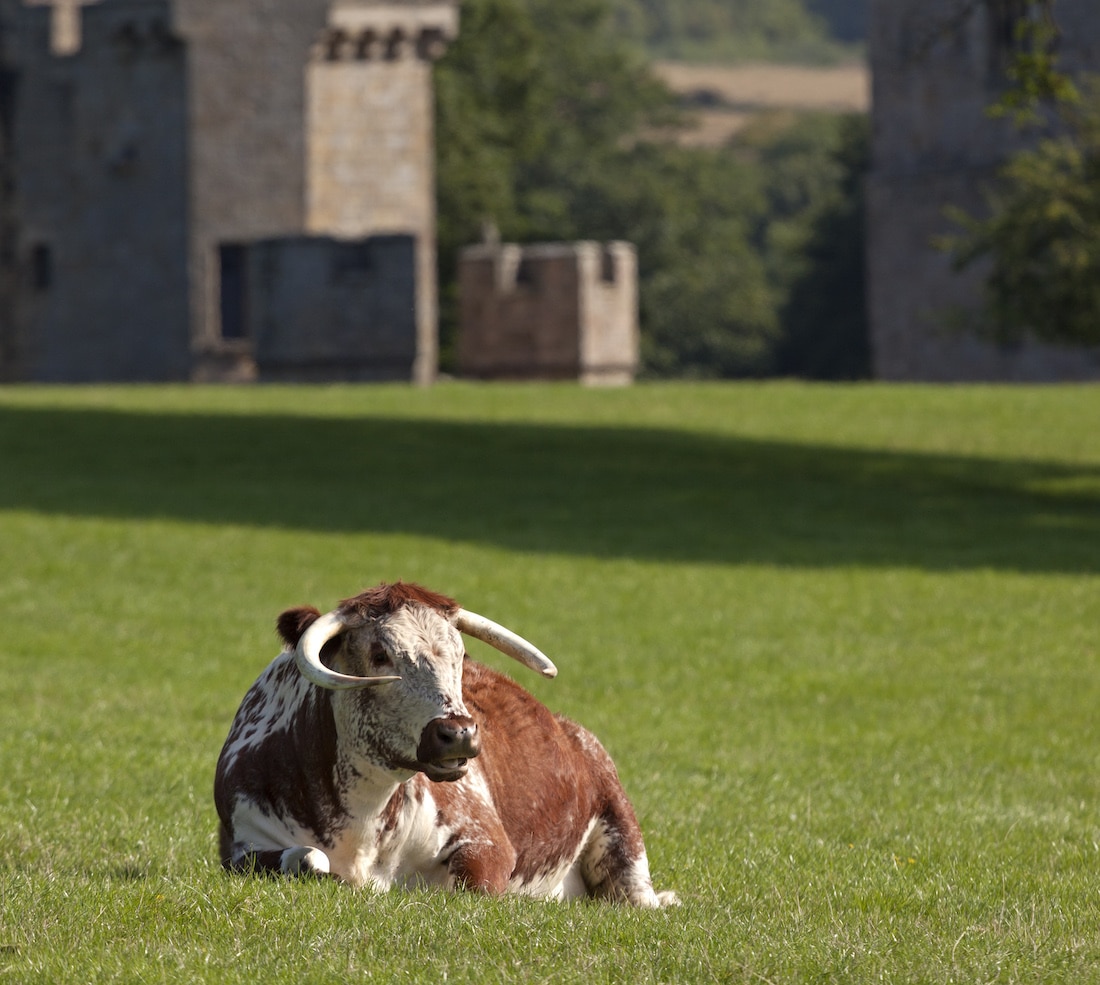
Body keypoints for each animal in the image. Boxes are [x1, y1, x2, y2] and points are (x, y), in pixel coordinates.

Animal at [214, 581, 678, 907]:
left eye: (458, 653)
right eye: (380, 654)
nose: (458, 732)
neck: (360, 821)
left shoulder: (485, 841)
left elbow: (473, 884)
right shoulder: (241, 848)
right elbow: (310, 859)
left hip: (621, 830)